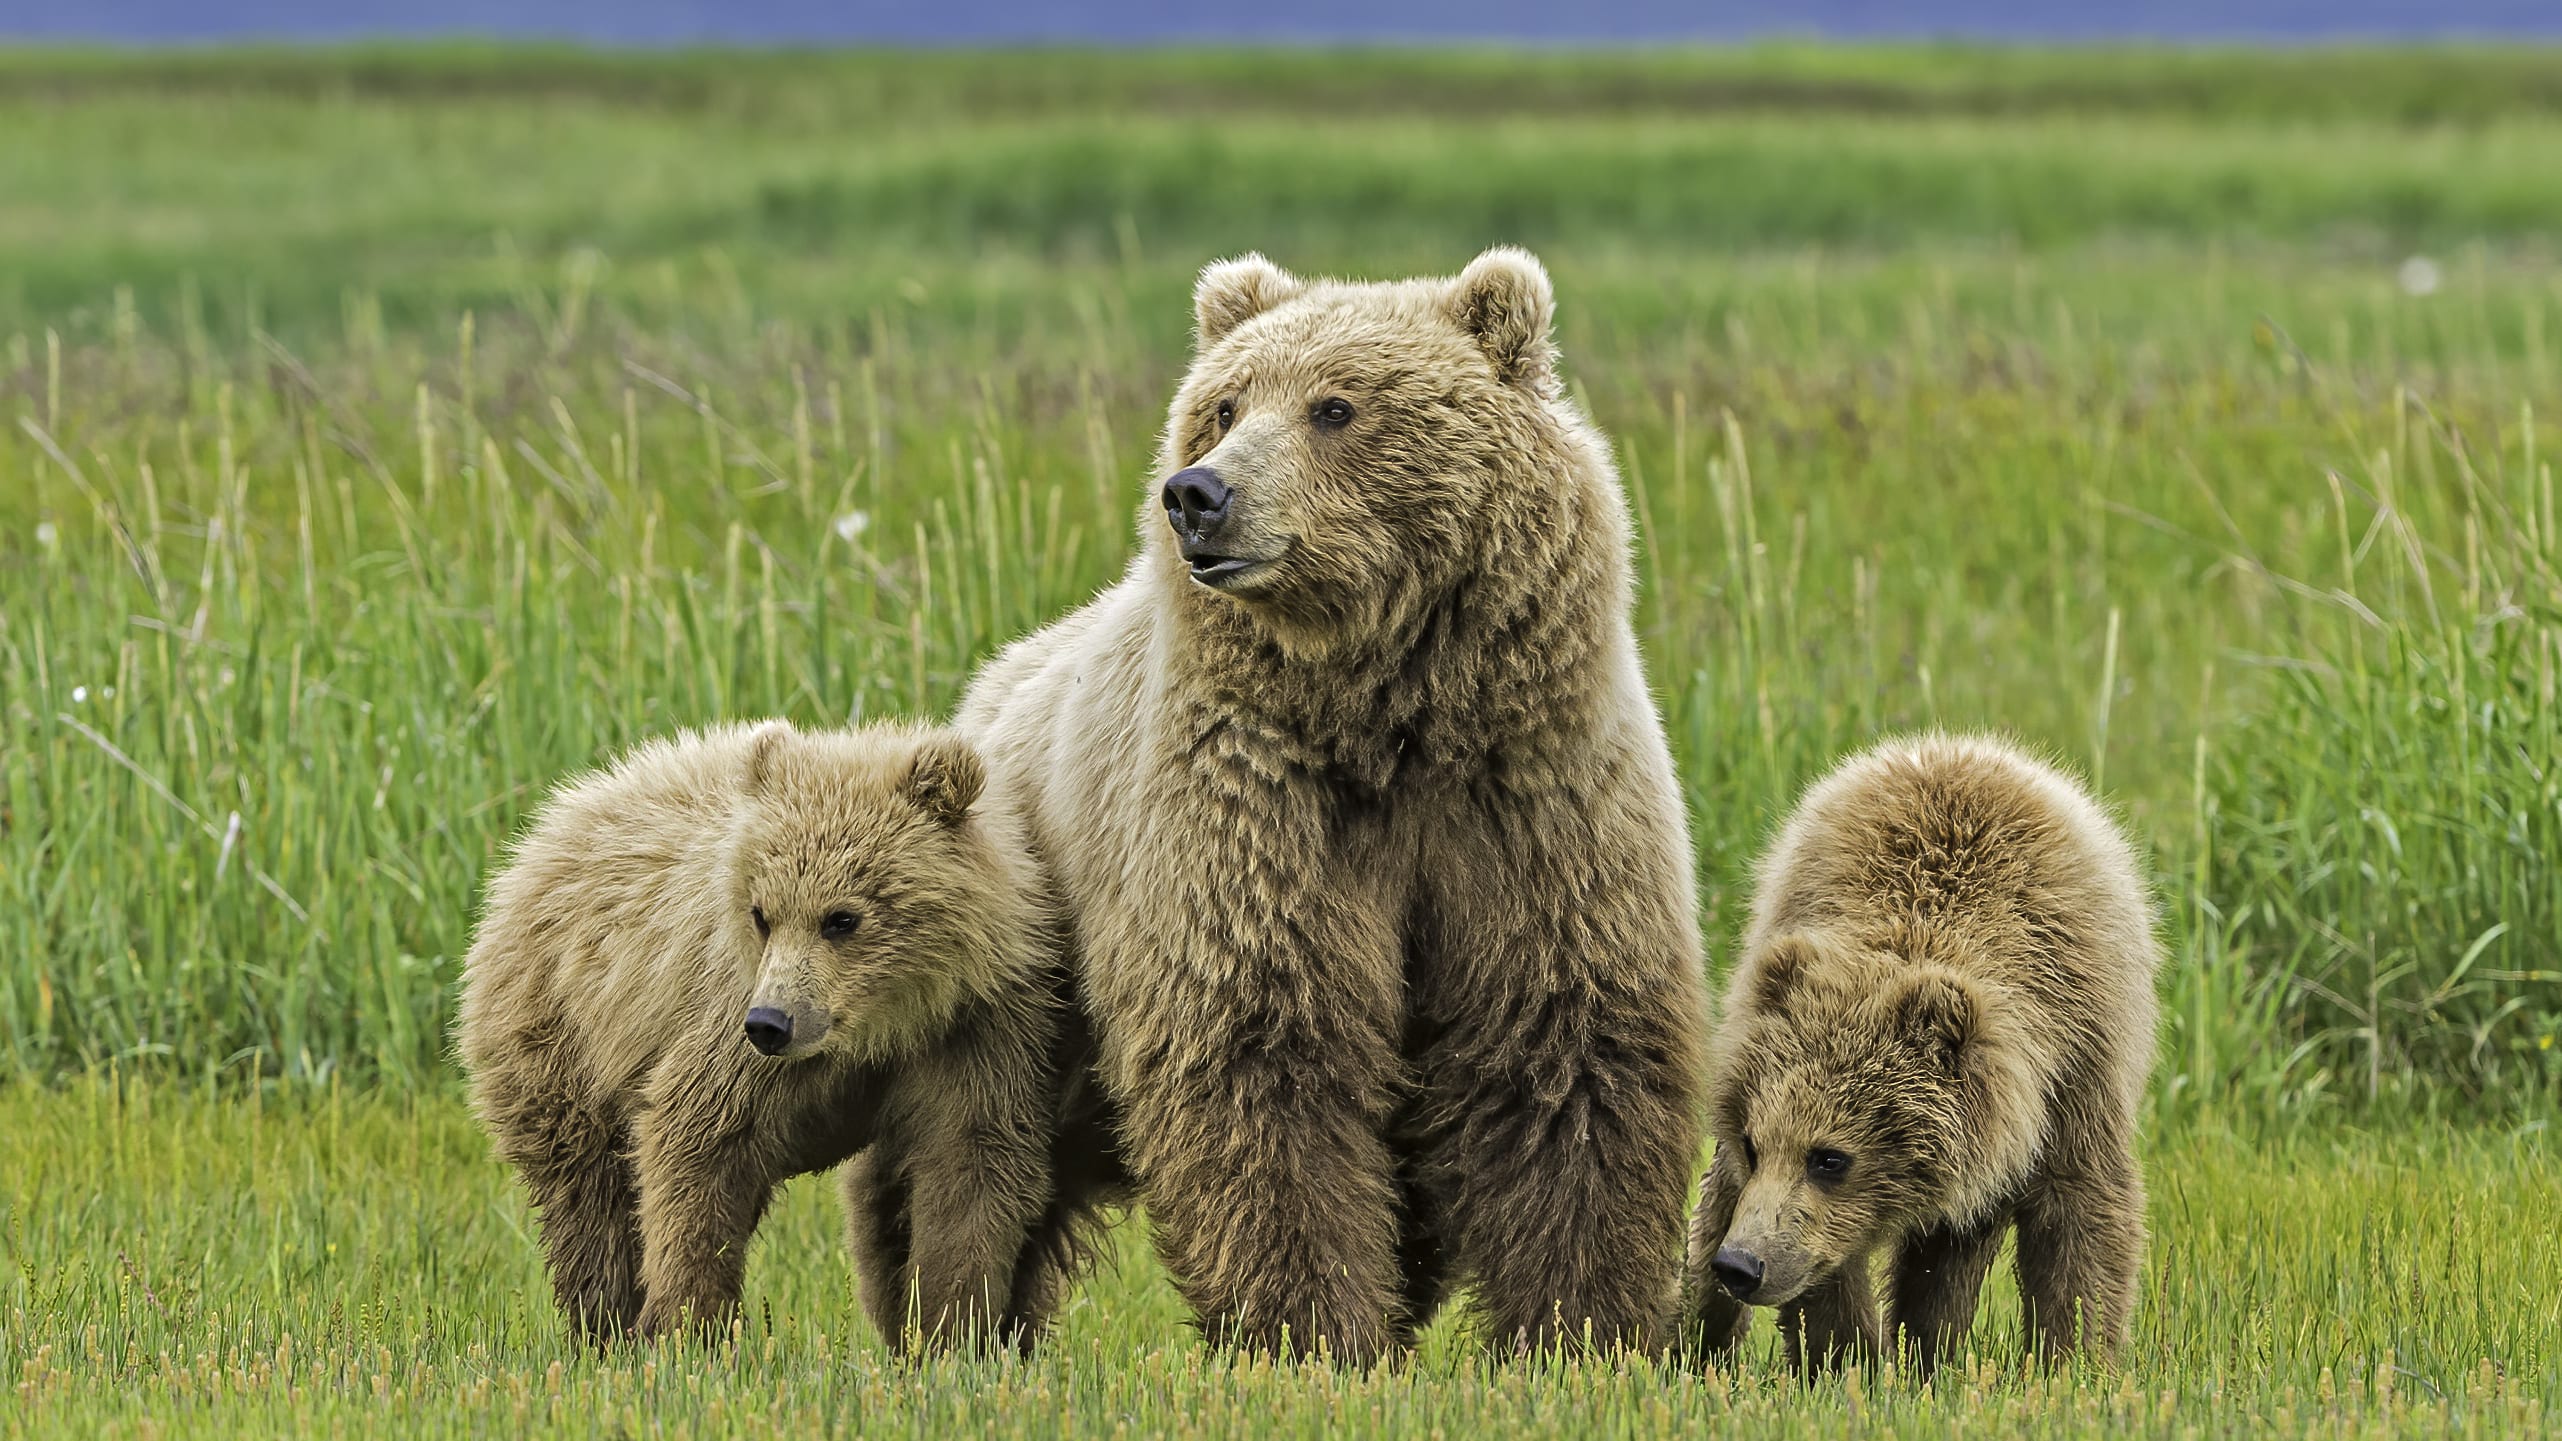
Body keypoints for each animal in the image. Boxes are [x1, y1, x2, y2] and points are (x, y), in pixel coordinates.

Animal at [453, 719, 1117, 1353]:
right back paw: (606, 1329)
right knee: (590, 1200)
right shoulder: (734, 1024)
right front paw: (688, 1331)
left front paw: (954, 1334)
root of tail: (547, 825)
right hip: (560, 1036)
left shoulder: (977, 1029)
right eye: (762, 914)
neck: (884, 1026)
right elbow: (695, 1144)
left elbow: (971, 1168)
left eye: (842, 918)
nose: (771, 1023)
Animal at [957, 247, 1711, 1361]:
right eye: (1226, 405)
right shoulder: (1256, 807)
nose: (1198, 492)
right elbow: (1269, 1058)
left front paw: (1580, 1327)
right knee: (977, 1150)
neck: (1393, 724)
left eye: (1336, 406)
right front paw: (1312, 1332)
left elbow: (1566, 1053)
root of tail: (988, 684)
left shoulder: (1533, 803)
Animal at [1681, 732, 2161, 1378]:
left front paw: (2074, 1363)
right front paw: (1850, 1361)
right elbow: (1829, 1267)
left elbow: (2081, 1222)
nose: (1742, 1265)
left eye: (1829, 1158)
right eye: (1756, 1145)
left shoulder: (2080, 1064)